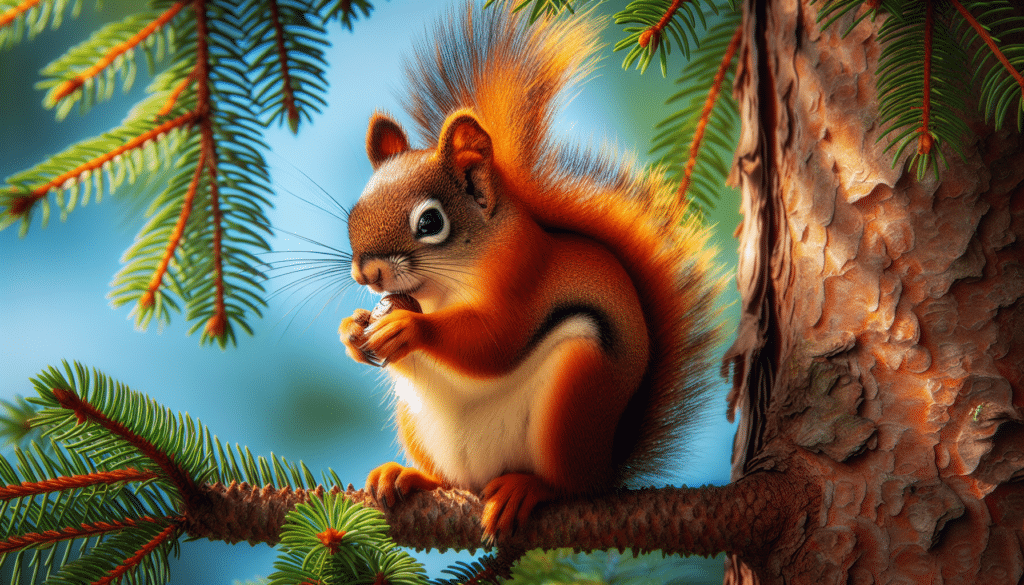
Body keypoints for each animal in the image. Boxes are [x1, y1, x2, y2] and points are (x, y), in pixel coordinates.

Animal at [339, 1, 722, 540]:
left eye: (430, 222)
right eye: (354, 211)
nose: (367, 274)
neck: (443, 285)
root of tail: (606, 465)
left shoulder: (525, 271)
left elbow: (496, 342)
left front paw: (411, 328)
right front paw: (353, 330)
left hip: (574, 396)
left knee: (568, 486)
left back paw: (527, 489)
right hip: (418, 421)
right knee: (451, 480)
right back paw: (407, 476)